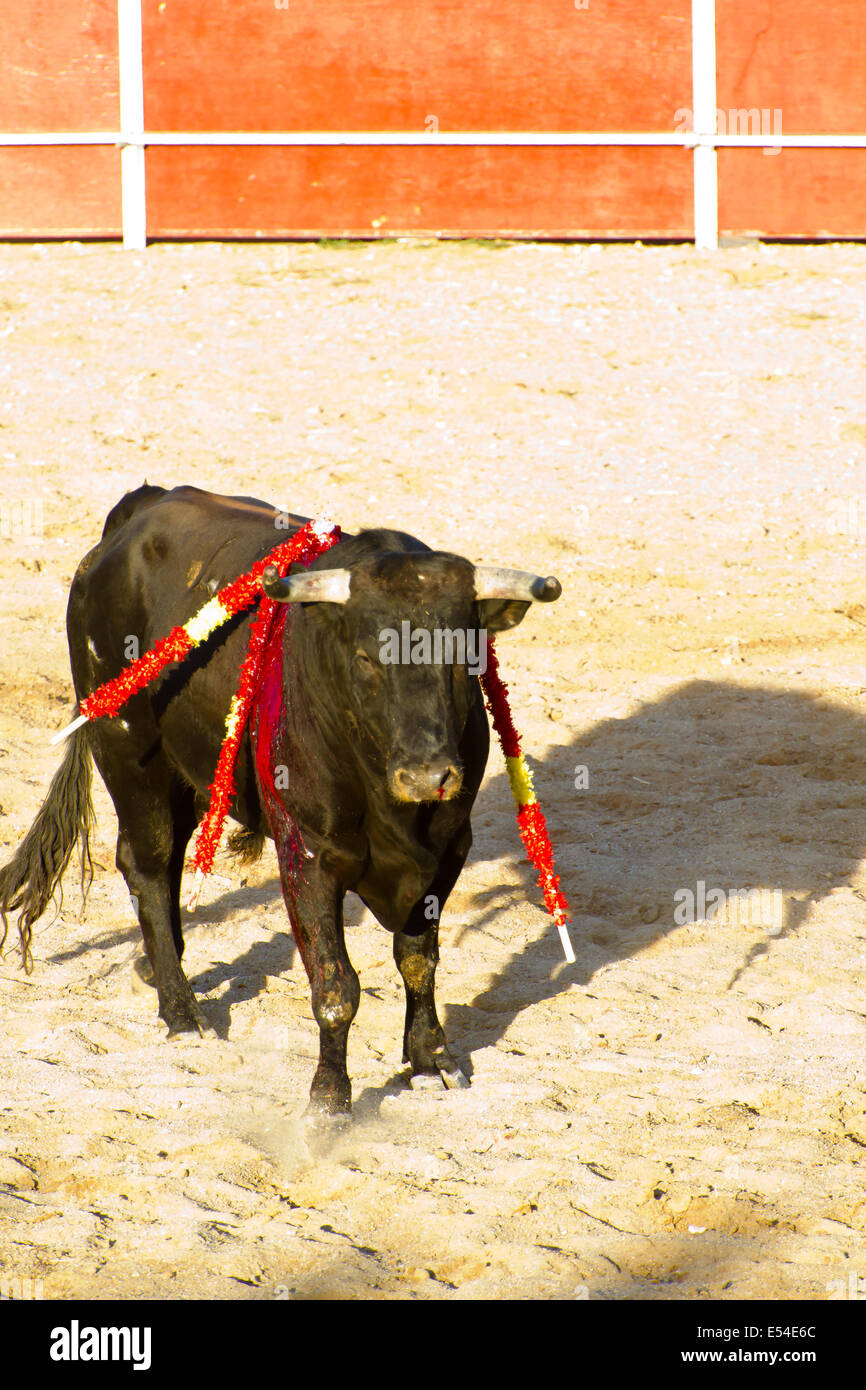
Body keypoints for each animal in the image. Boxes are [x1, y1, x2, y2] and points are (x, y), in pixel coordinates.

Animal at [0, 485, 562, 1114]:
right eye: (366, 658)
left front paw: (430, 1061)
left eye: (466, 654)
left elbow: (418, 960)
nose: (426, 777)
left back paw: (156, 967)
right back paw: (182, 1012)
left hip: (188, 775)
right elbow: (336, 982)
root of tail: (138, 510)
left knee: (167, 867)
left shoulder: (448, 850)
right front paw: (330, 1096)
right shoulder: (307, 853)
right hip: (127, 752)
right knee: (147, 865)